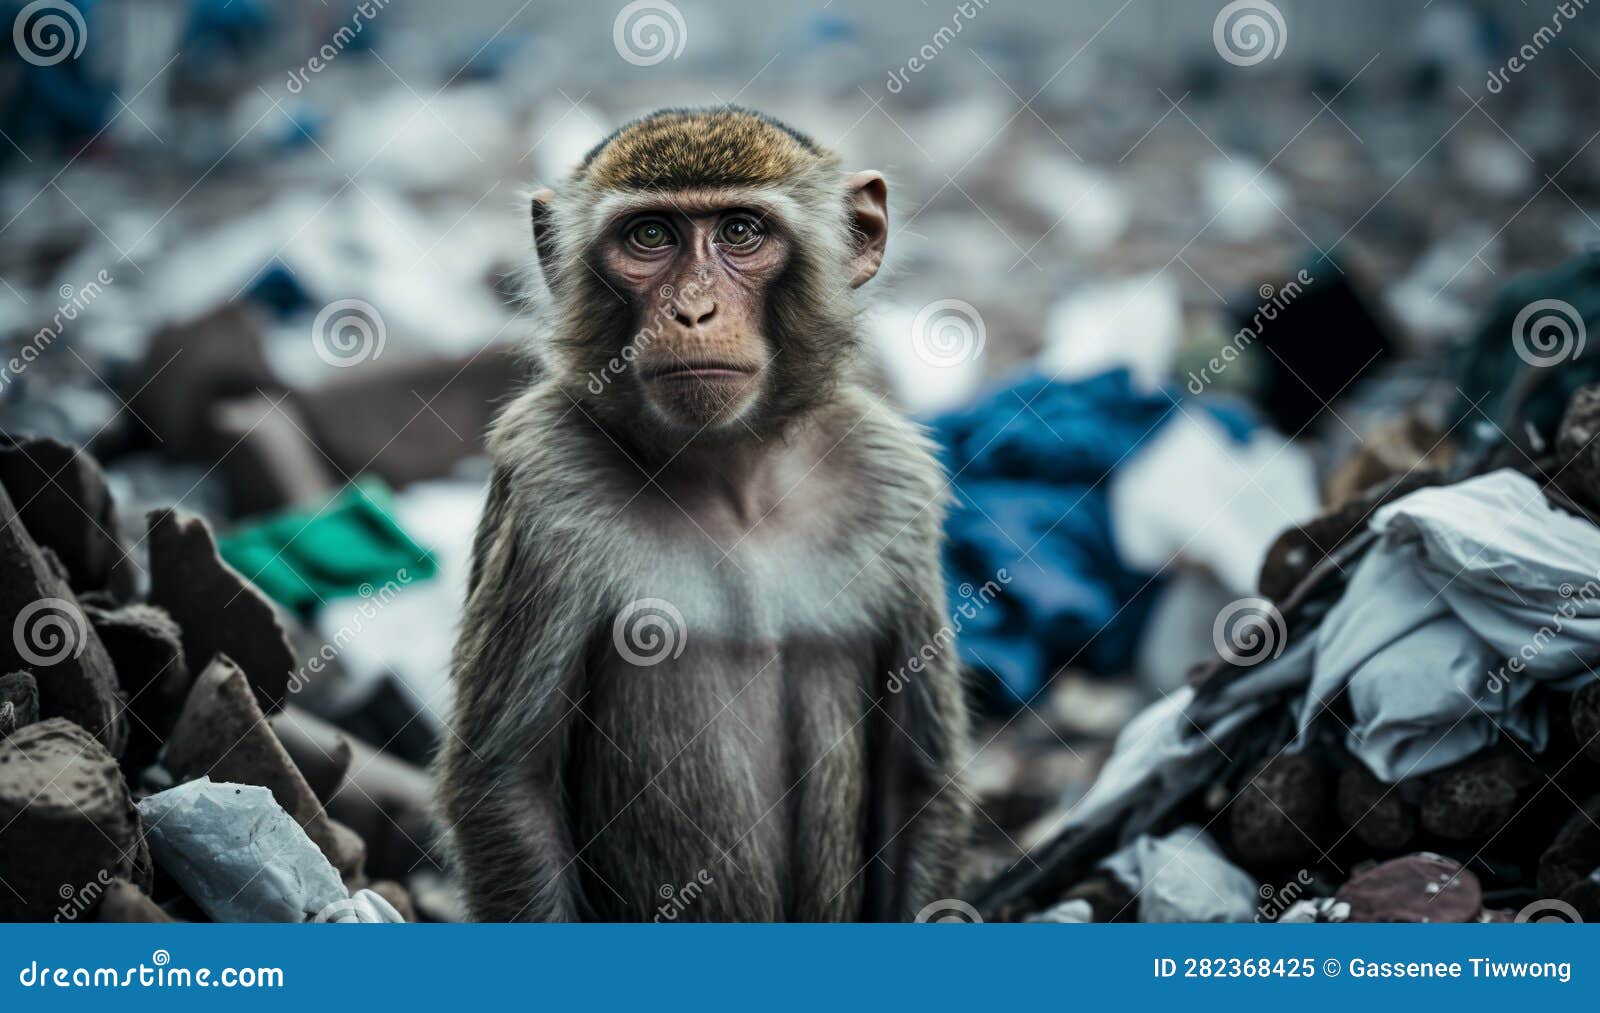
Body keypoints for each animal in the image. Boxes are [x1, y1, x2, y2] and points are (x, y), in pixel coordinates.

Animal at [435, 107, 971, 922]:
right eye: (650, 236)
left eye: (741, 231)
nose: (693, 311)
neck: (736, 474)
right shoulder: (545, 474)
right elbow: (510, 786)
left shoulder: (894, 478)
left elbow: (916, 779)